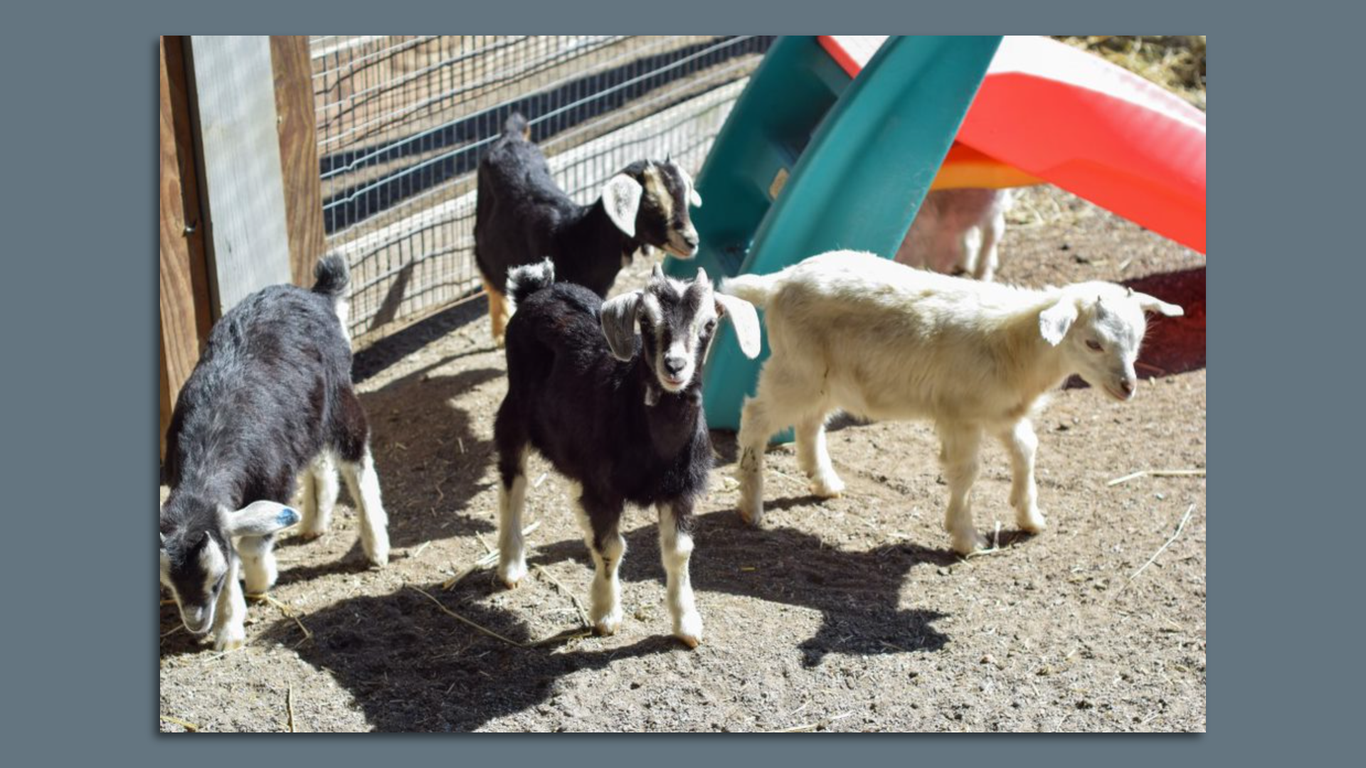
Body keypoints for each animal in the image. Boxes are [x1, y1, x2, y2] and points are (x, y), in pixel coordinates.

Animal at [159, 255, 390, 650]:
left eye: (216, 580)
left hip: (339, 399)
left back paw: (376, 545)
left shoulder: (273, 479)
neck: (211, 440)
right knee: (319, 462)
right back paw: (314, 521)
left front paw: (258, 584)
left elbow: (250, 546)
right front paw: (229, 631)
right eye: (170, 583)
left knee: (357, 458)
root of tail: (317, 293)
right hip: (306, 417)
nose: (195, 623)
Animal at [473, 112, 703, 347]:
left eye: (686, 198)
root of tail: (510, 136)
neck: (574, 238)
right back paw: (499, 329)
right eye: (651, 204)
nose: (692, 241)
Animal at [493, 259, 760, 647]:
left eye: (709, 324)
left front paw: (687, 624)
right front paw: (605, 615)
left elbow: (679, 551)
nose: (674, 366)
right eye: (645, 321)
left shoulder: (680, 491)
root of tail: (538, 289)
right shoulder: (604, 489)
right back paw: (511, 565)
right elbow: (611, 548)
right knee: (513, 484)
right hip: (514, 415)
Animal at [721, 250, 1182, 555]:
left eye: (1139, 337)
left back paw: (825, 483)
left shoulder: (1002, 413)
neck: (1017, 346)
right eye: (1092, 342)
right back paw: (751, 506)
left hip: (825, 377)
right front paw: (966, 539)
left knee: (811, 421)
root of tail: (775, 284)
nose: (1127, 386)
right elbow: (966, 473)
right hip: (797, 369)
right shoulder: (961, 415)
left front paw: (1029, 516)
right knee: (756, 416)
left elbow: (1027, 451)